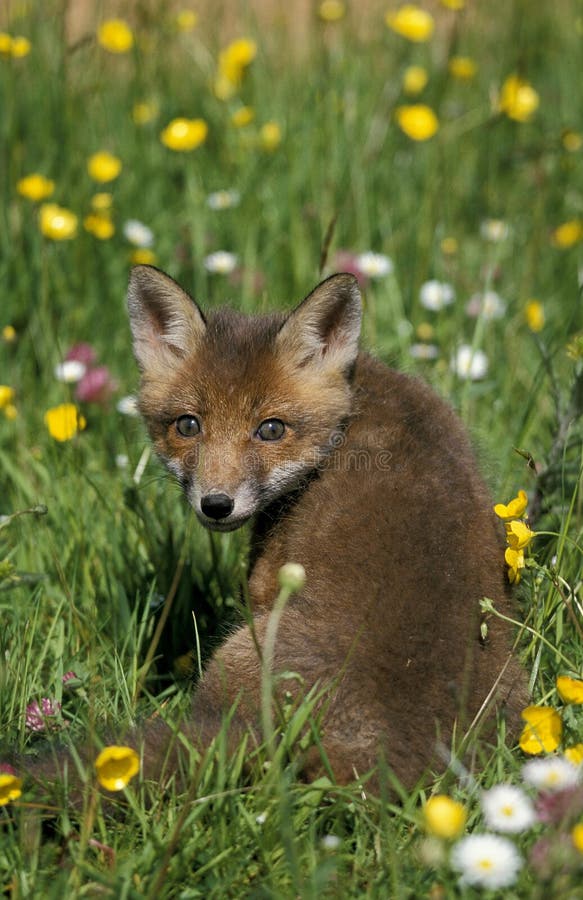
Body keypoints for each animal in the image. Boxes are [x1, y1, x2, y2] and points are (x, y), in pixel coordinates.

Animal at [121, 264, 526, 790]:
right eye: (188, 425)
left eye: (271, 429)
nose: (216, 504)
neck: (352, 407)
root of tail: (395, 752)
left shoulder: (265, 580)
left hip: (238, 652)